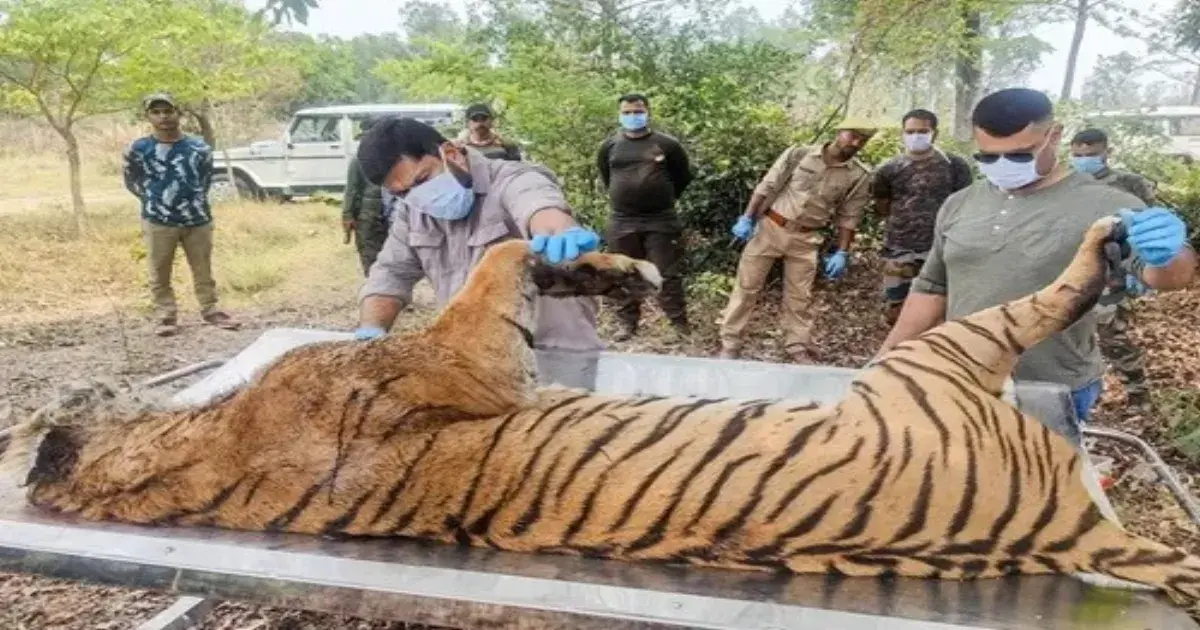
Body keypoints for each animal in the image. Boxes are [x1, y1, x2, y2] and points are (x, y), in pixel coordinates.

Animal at [2, 214, 1200, 608]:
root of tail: (1073, 531)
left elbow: (512, 254)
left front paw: (599, 267)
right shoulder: (473, 352)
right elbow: (495, 254)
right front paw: (606, 264)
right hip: (936, 358)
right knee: (1054, 293)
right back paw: (1113, 243)